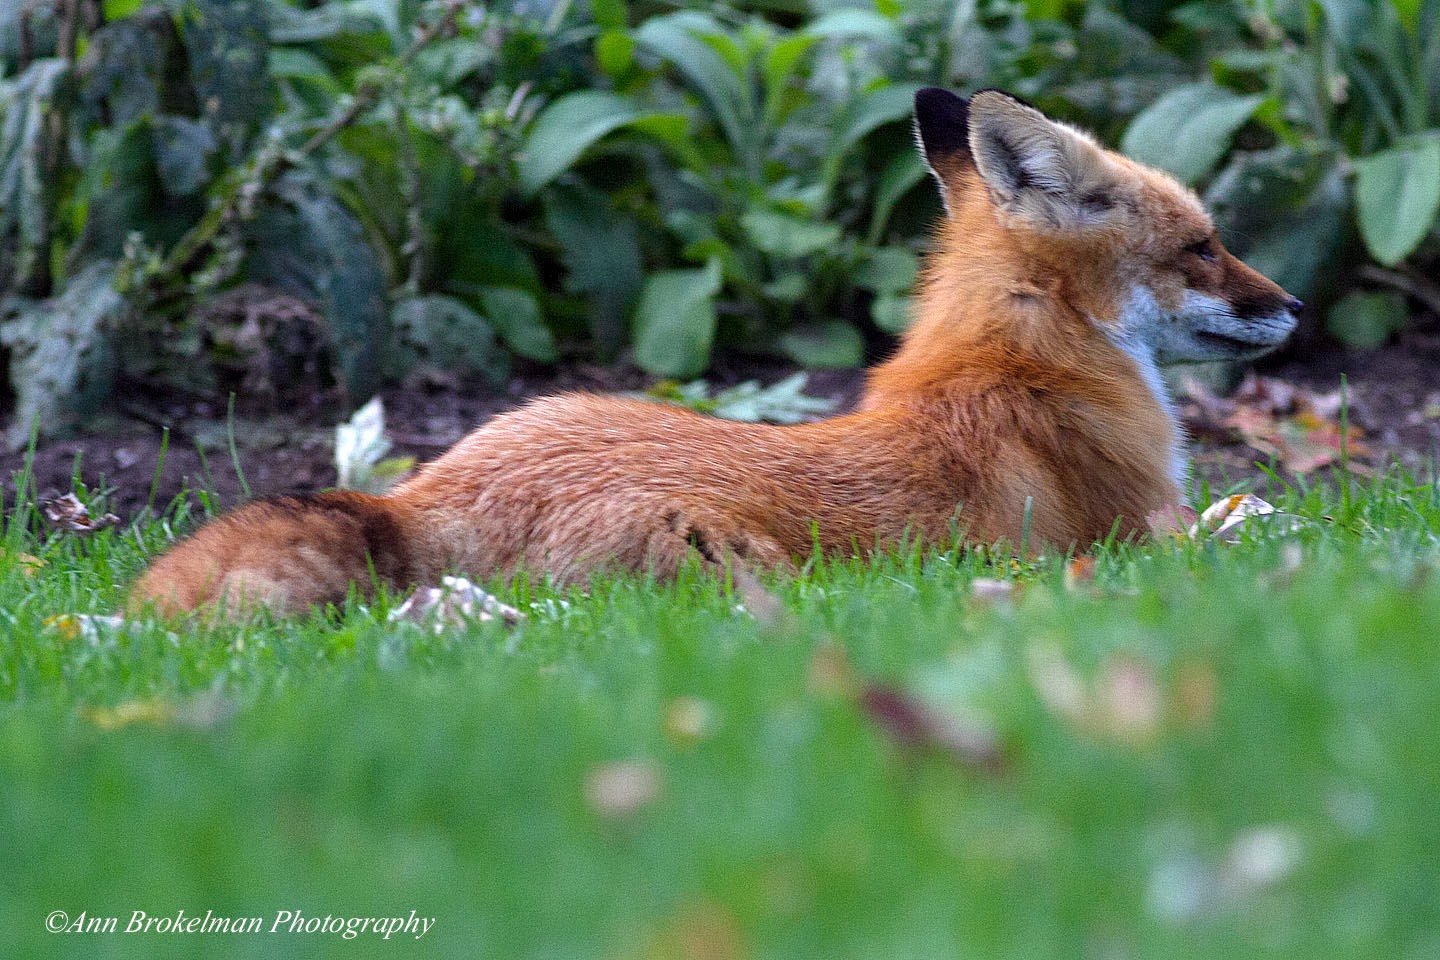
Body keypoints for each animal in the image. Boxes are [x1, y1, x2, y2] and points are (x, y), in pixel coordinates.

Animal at [130, 88, 1301, 617]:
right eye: (1203, 246)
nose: (1294, 308)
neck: (1025, 357)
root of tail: (416, 501)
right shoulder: (1141, 536)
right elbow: (1257, 515)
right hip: (742, 575)